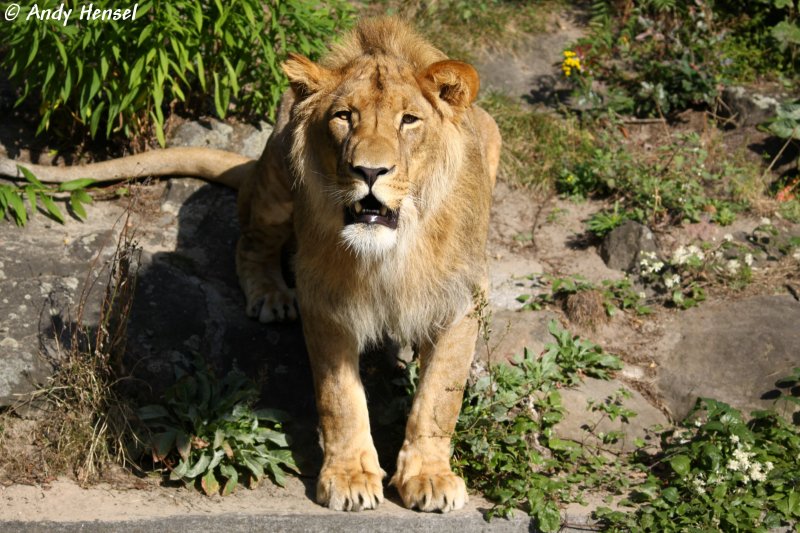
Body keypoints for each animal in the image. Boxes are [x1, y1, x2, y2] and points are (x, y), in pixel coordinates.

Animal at [0, 18, 501, 513]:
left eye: (409, 121)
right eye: (344, 117)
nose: (369, 171)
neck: (392, 249)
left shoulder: (462, 300)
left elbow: (440, 398)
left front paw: (429, 476)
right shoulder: (326, 298)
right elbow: (340, 397)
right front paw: (349, 476)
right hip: (278, 170)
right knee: (250, 242)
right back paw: (271, 296)